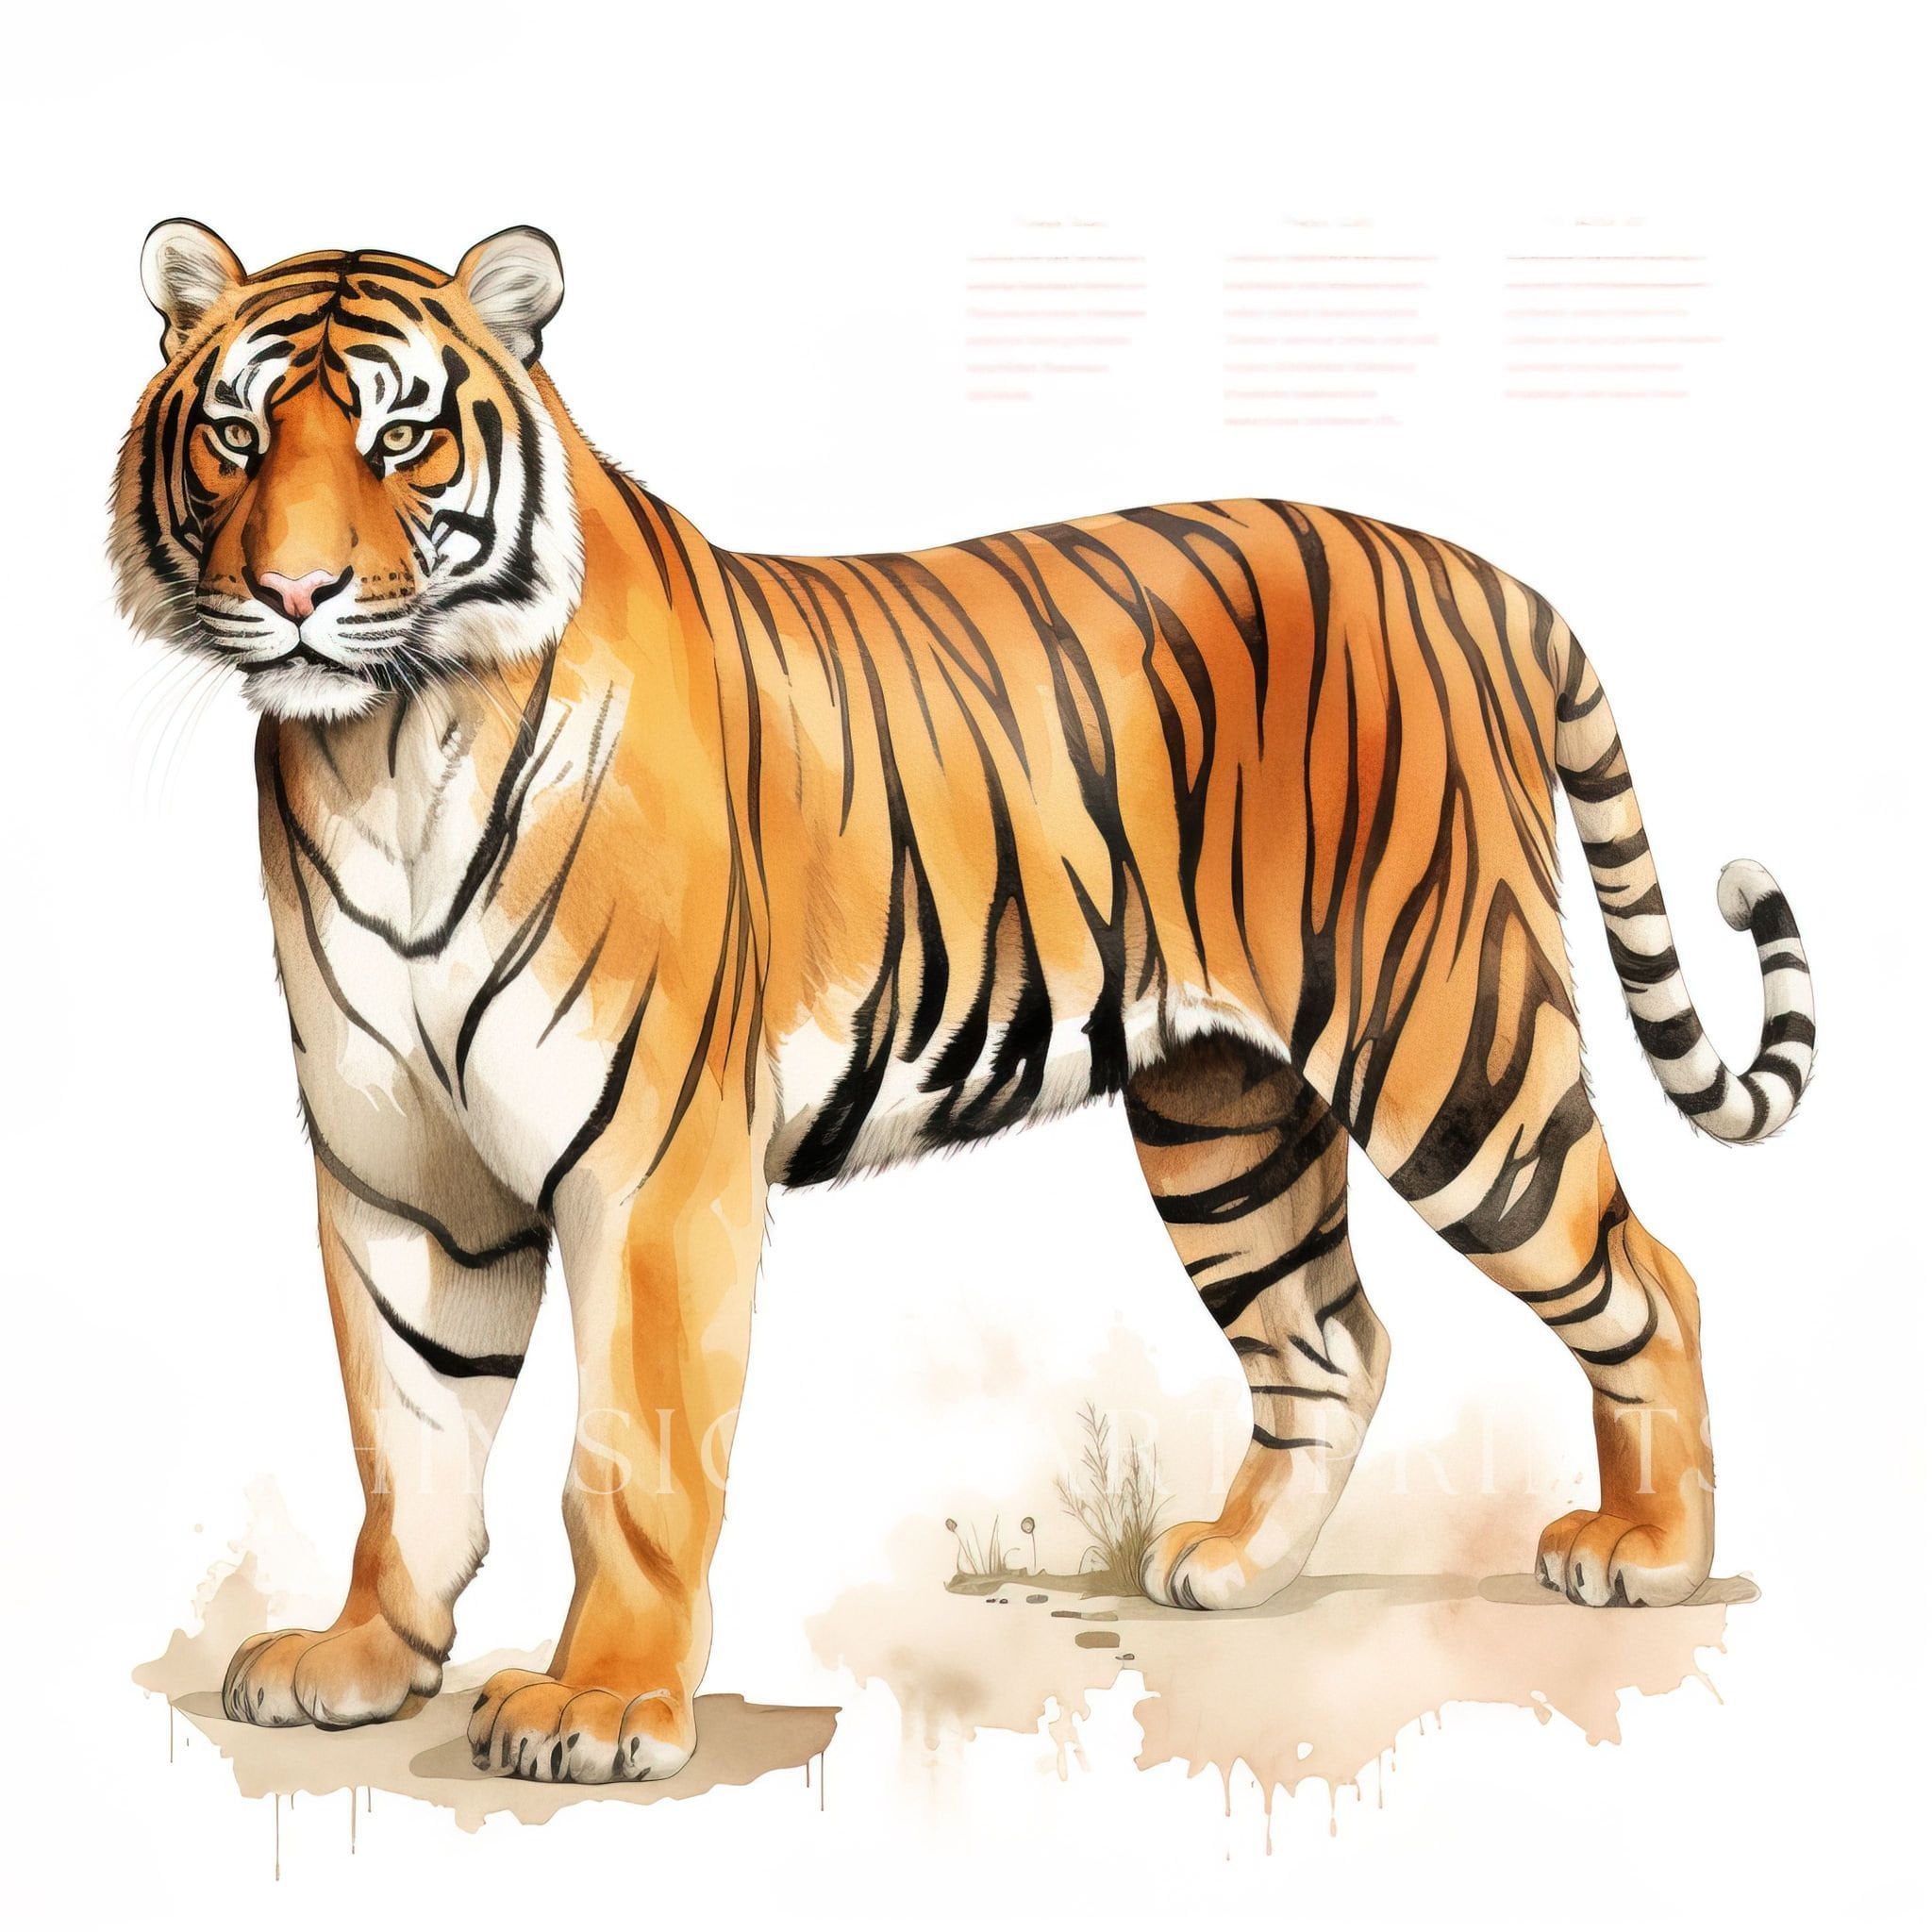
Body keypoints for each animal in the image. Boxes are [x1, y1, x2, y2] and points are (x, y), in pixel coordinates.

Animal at [113, 219, 1815, 1785]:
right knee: (1329, 1335)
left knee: (1647, 1279)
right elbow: (407, 1440)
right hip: (1222, 1109)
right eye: (239, 435)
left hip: (1448, 1047)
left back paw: (1648, 1552)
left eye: (402, 438)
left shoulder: (653, 1168)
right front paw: (361, 1658)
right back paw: (1234, 1566)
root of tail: (1486, 577)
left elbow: (631, 1458)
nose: (296, 590)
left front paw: (599, 1703)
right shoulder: (399, 1172)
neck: (385, 748)